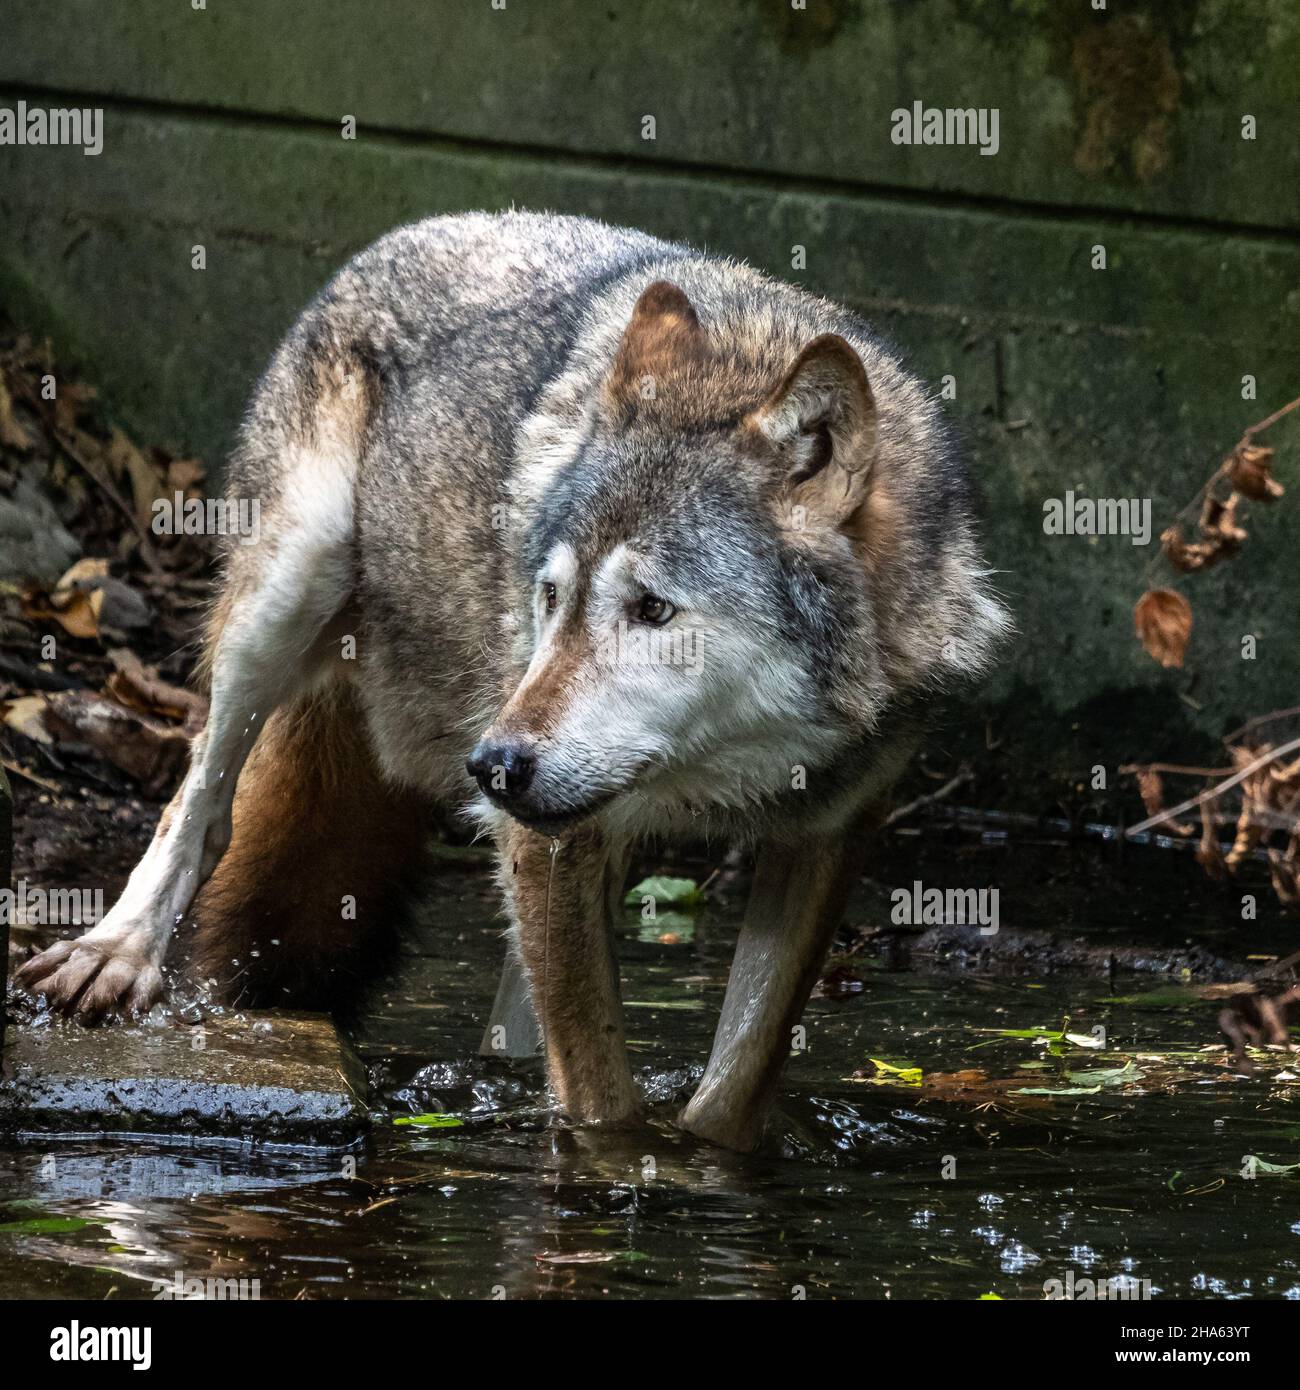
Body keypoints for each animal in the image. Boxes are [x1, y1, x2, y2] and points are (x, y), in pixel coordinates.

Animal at [16, 211, 1009, 1151]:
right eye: (551, 595)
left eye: (653, 609)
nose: (490, 766)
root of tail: (403, 235)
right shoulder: (551, 841)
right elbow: (604, 1104)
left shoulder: (827, 837)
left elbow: (734, 1088)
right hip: (290, 588)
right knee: (200, 798)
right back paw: (116, 954)